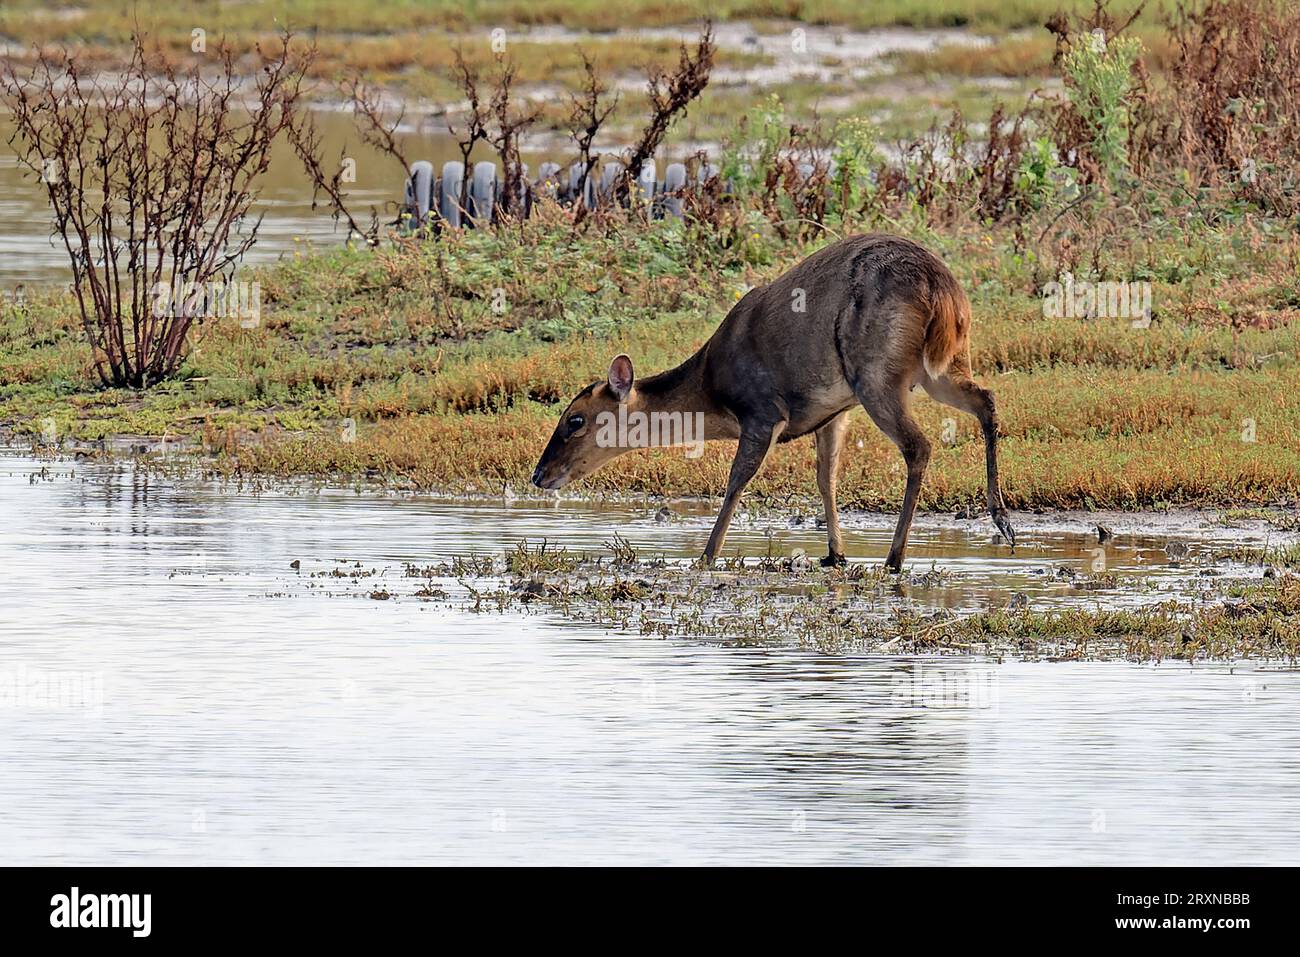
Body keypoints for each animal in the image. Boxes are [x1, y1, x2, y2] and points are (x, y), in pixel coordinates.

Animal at [531, 234, 1015, 572]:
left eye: (574, 419)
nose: (539, 475)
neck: (713, 390)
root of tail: (942, 290)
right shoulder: (831, 412)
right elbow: (826, 477)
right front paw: (835, 553)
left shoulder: (763, 409)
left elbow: (736, 480)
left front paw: (706, 556)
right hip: (943, 363)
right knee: (986, 399)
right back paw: (1002, 520)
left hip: (876, 374)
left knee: (919, 445)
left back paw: (895, 557)